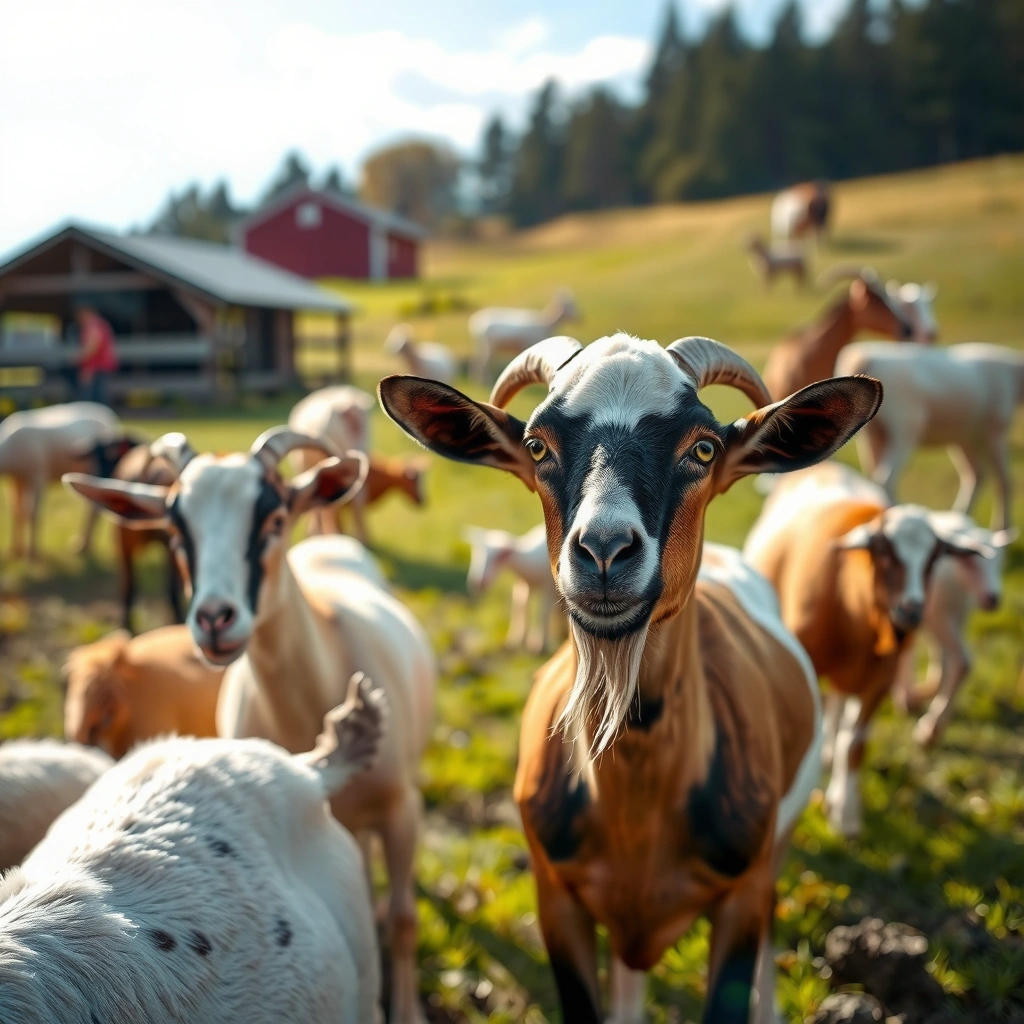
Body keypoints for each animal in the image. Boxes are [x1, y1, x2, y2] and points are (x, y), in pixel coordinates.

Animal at [0, 401, 123, 559]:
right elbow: (16, 512)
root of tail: (109, 414)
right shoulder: (16, 481)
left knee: (95, 507)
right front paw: (14, 551)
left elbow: (32, 514)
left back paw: (83, 545)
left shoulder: (37, 476)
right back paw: (83, 544)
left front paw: (32, 554)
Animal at [463, 524, 558, 654]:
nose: (478, 583)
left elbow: (542, 613)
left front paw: (539, 646)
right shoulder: (523, 584)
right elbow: (520, 607)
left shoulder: (547, 586)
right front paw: (516, 641)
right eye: (475, 555)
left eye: (499, 557)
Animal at [744, 464, 992, 837]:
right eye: (884, 551)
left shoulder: (879, 682)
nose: (911, 611)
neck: (855, 610)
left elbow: (854, 747)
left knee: (839, 708)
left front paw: (845, 813)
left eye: (935, 558)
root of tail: (830, 466)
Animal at [835, 342, 1024, 530]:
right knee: (886, 479)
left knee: (872, 478)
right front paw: (1003, 527)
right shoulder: (995, 432)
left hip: (873, 434)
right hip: (906, 427)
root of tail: (862, 358)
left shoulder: (964, 438)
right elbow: (1004, 482)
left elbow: (976, 476)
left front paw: (962, 517)